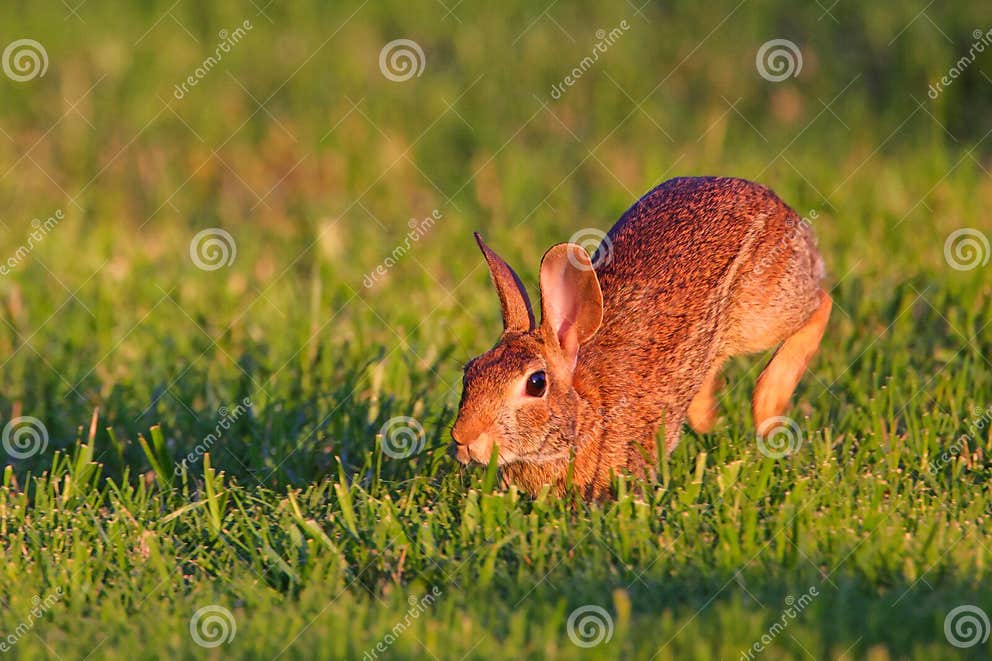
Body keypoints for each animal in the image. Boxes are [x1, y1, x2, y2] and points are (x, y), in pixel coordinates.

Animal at [451, 176, 831, 500]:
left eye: (536, 383)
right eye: (470, 371)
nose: (463, 438)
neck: (588, 408)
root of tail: (784, 210)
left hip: (764, 309)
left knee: (821, 303)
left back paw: (767, 407)